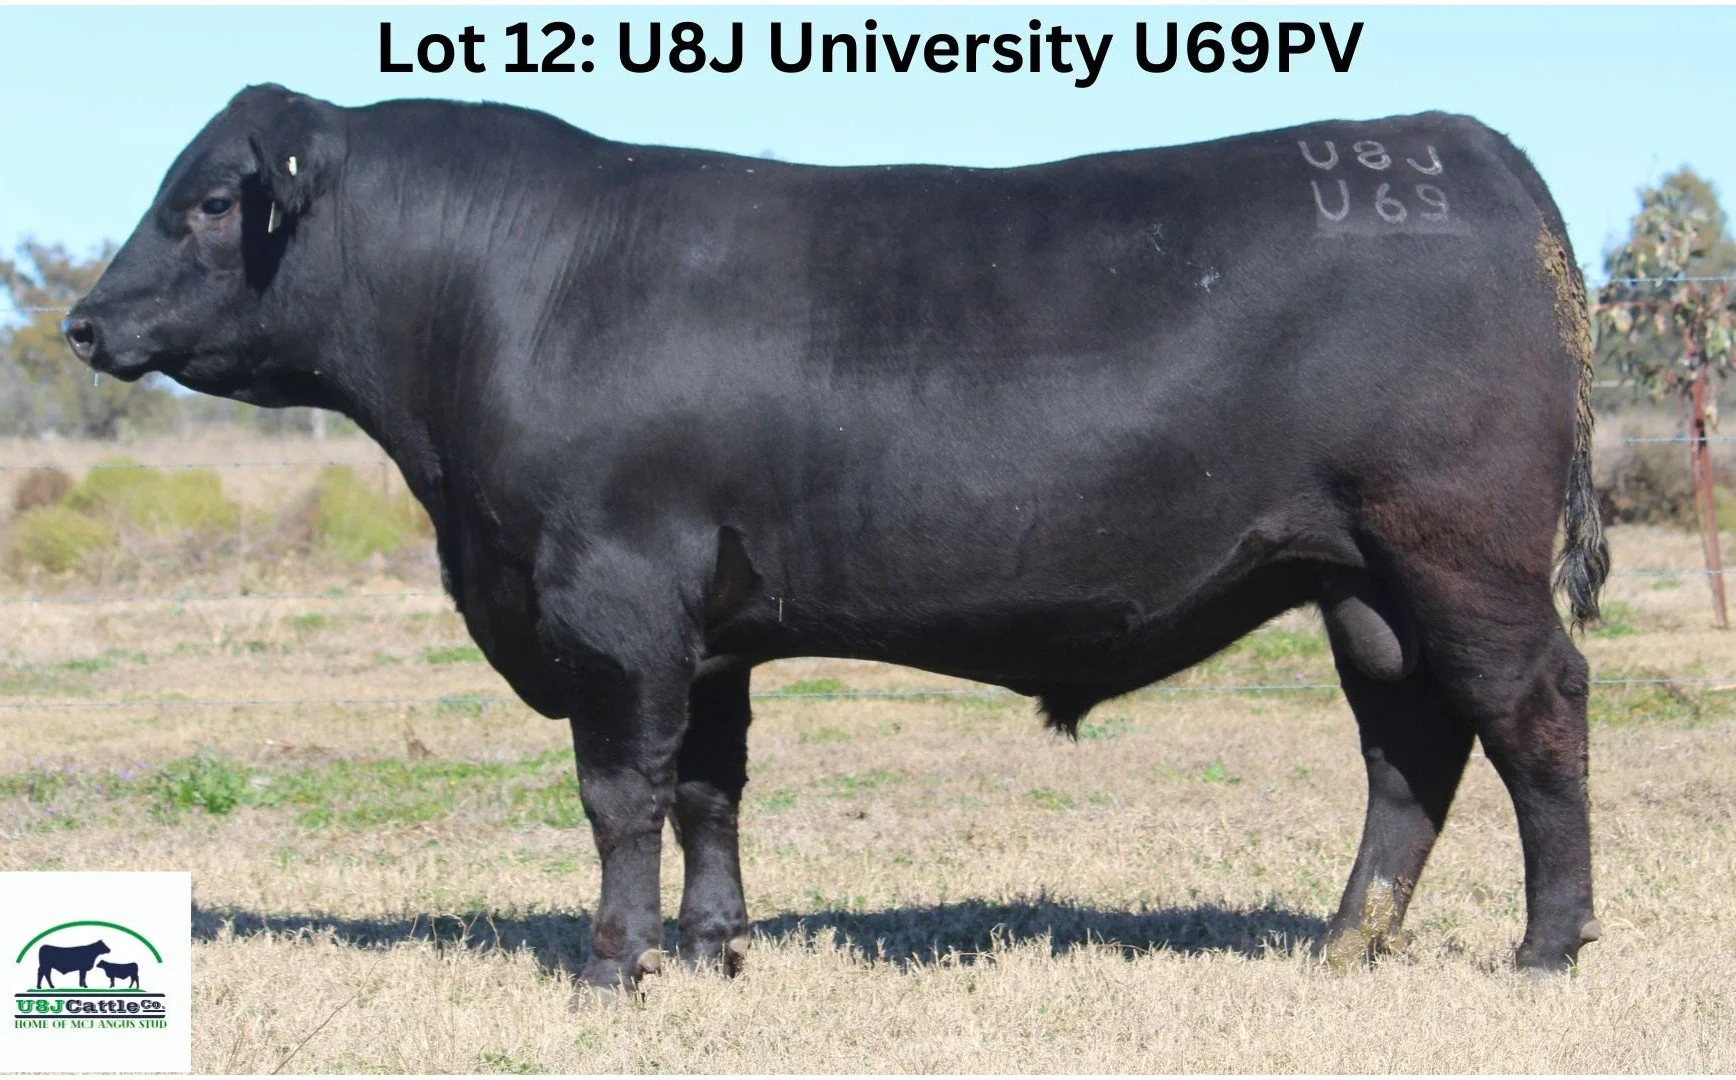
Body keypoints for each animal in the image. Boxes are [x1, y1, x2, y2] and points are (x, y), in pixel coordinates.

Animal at [65, 85, 1609, 996]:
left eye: (210, 201)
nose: (82, 320)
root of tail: (1463, 144)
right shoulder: (705, 629)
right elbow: (709, 788)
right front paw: (714, 948)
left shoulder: (613, 596)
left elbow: (620, 790)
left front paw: (613, 963)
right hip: (1359, 582)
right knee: (1409, 747)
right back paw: (1346, 944)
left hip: (1456, 547)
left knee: (1534, 711)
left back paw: (1546, 946)